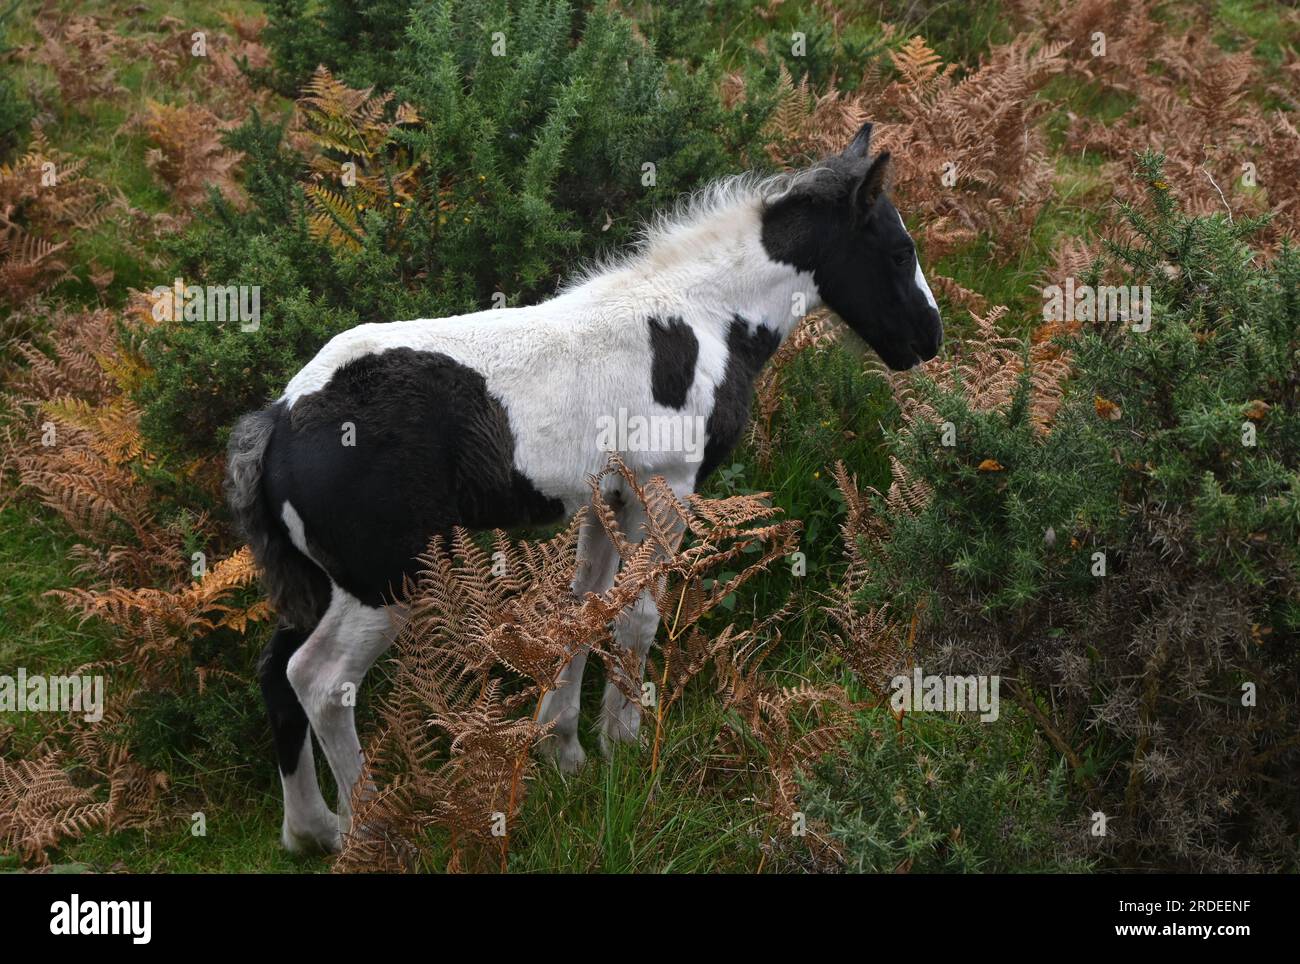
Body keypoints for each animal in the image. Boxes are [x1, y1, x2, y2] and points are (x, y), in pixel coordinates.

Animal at [224, 121, 943, 853]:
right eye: (899, 249)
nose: (928, 339)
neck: (704, 317)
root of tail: (276, 424)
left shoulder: (610, 498)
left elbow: (582, 609)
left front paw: (563, 750)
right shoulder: (666, 488)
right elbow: (637, 616)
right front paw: (622, 742)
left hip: (324, 583)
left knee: (276, 675)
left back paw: (312, 831)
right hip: (385, 580)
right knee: (320, 681)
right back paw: (374, 831)